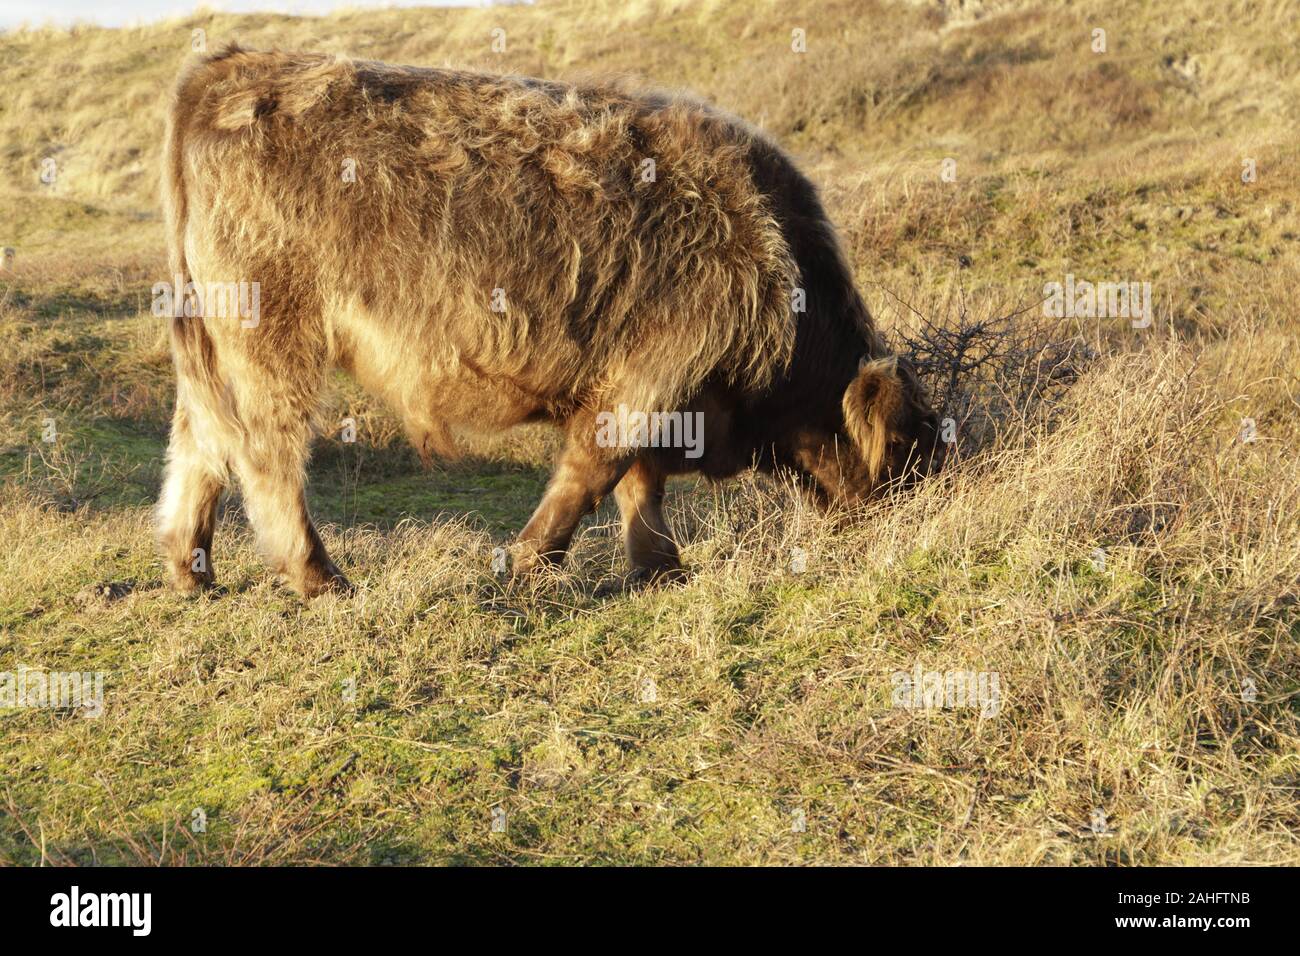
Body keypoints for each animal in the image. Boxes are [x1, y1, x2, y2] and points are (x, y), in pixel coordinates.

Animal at [156, 45, 944, 598]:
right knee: (266, 451)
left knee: (198, 441)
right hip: (270, 333)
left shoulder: (648, 387)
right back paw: (320, 577)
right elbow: (595, 473)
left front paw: (658, 568)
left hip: (214, 343)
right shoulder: (652, 375)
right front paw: (529, 561)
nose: (919, 510)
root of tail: (227, 66)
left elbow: (637, 483)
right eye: (909, 447)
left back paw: (192, 569)